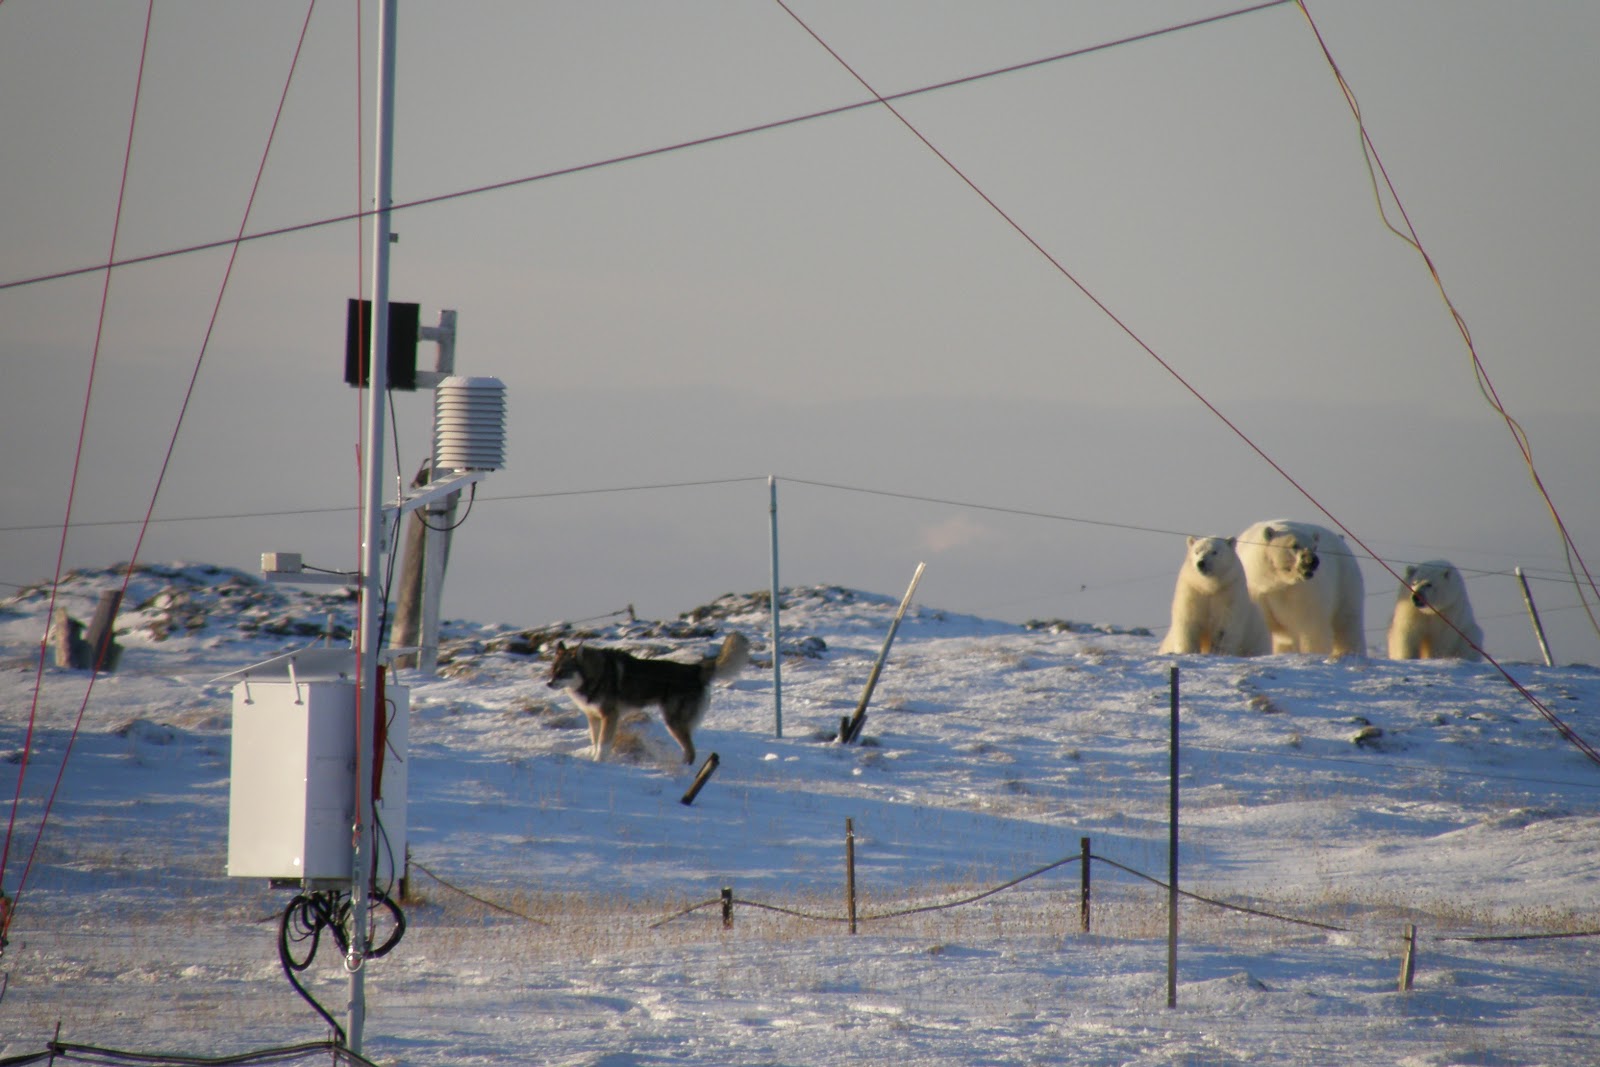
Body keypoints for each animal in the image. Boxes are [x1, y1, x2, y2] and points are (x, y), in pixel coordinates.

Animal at [1235, 519, 1366, 658]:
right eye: (1294, 545)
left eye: (1315, 547)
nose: (1312, 561)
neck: (1276, 581)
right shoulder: (1256, 588)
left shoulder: (1303, 593)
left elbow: (1310, 627)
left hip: (1345, 582)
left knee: (1347, 623)